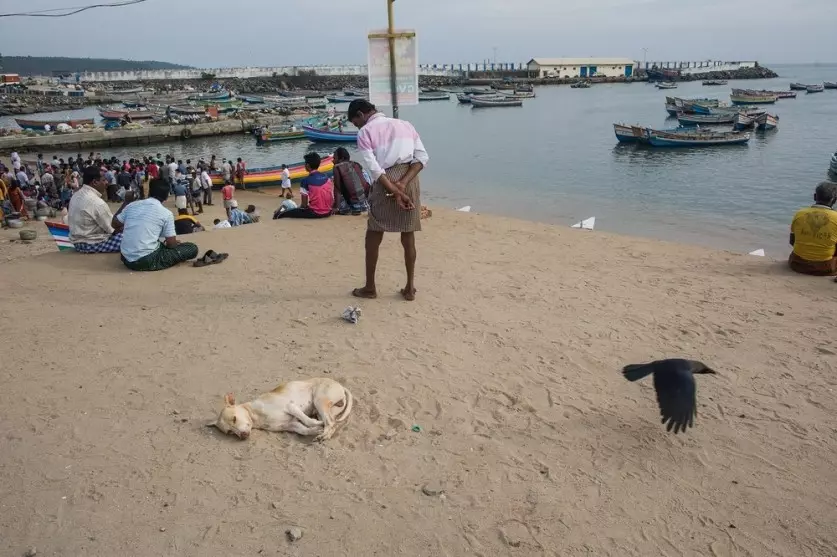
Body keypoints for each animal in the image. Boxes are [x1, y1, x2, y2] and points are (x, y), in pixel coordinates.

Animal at [211, 376, 354, 440]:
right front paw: (315, 430)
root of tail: (340, 385)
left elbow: (308, 421)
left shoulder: (290, 406)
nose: (243, 436)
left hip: (319, 400)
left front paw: (317, 426)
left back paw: (324, 435)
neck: (256, 416)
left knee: (330, 422)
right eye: (229, 432)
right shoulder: (292, 425)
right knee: (331, 422)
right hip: (324, 409)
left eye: (234, 419)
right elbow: (305, 430)